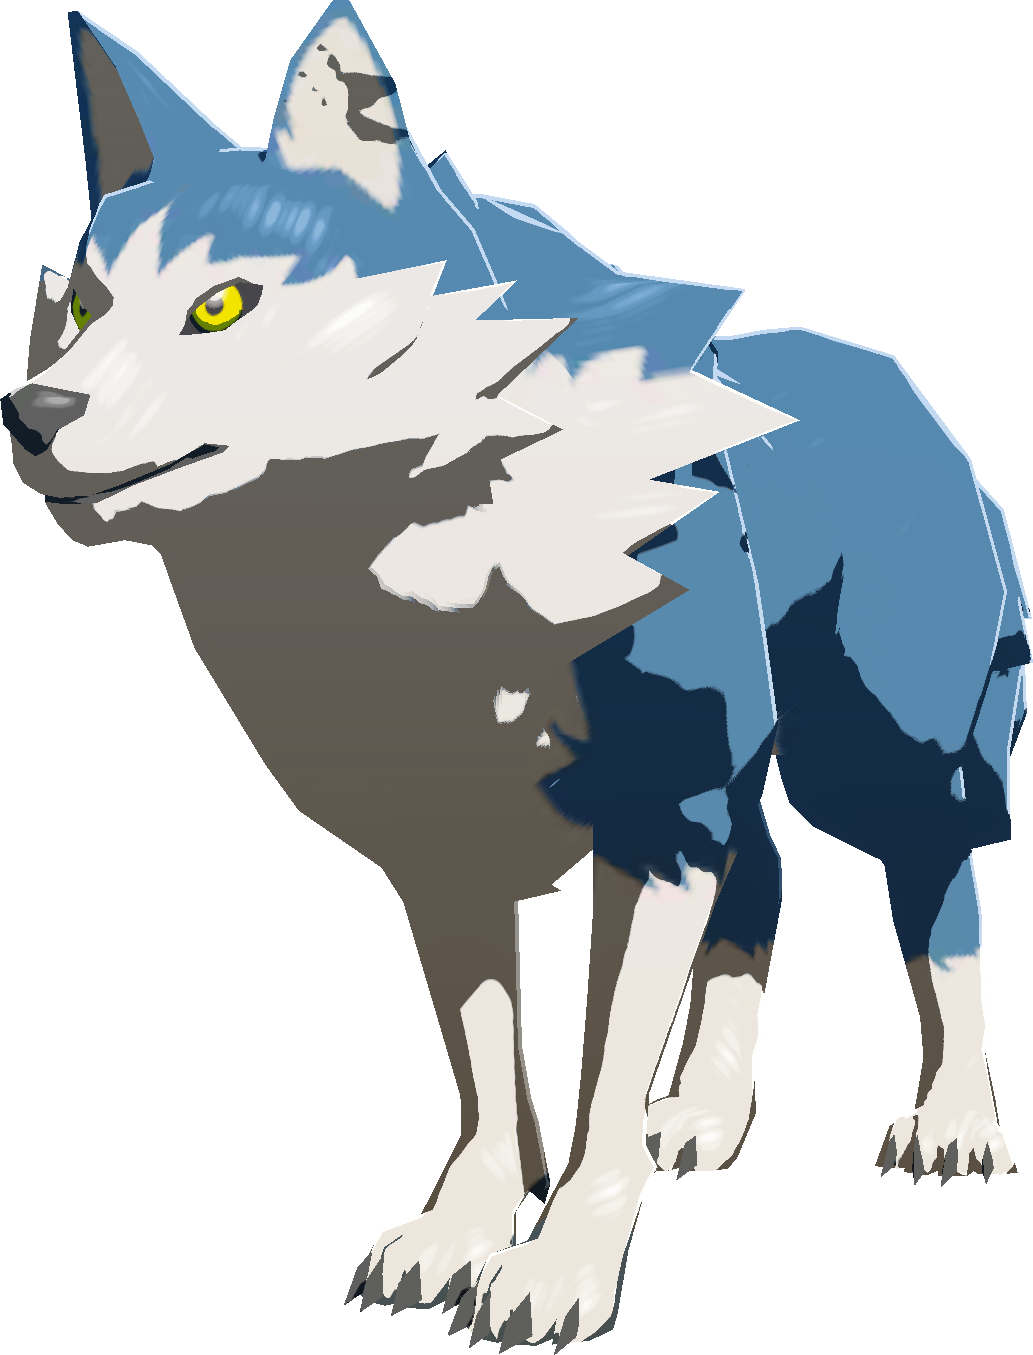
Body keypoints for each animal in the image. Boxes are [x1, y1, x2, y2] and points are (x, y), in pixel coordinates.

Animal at [4, 5, 1025, 1347]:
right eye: (85, 309)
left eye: (221, 305)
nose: (31, 412)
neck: (412, 572)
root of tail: (905, 387)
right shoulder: (447, 850)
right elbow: (491, 1081)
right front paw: (460, 1232)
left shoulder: (653, 826)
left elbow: (597, 1088)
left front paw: (561, 1267)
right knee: (764, 877)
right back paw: (707, 1114)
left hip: (875, 761)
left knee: (936, 893)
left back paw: (955, 1120)